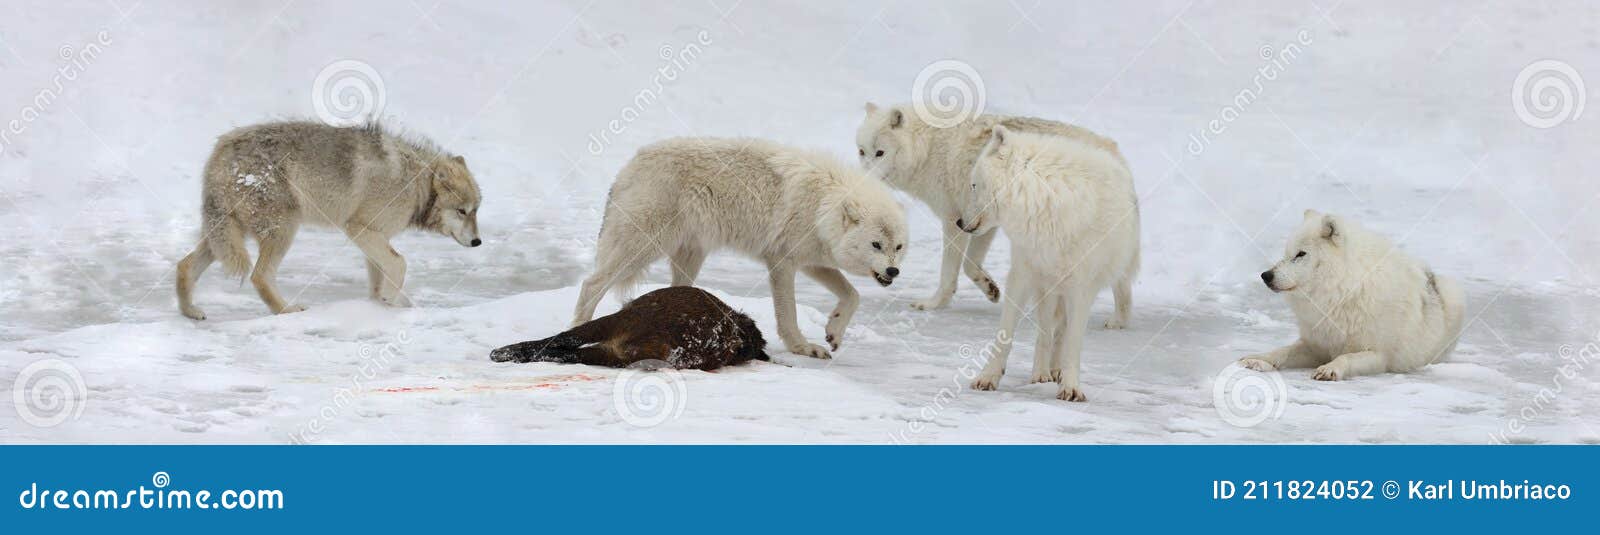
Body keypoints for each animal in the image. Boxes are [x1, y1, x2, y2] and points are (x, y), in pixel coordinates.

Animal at [175, 121, 482, 320]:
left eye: (476, 209)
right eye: (462, 211)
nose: (478, 242)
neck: (417, 183)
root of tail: (221, 151)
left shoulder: (374, 237)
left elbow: (379, 278)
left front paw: (382, 306)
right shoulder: (357, 228)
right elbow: (400, 263)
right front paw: (390, 302)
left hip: (225, 237)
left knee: (184, 265)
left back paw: (190, 312)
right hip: (284, 229)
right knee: (259, 276)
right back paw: (287, 311)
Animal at [571, 137, 908, 359]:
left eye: (898, 247)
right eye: (876, 244)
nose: (893, 271)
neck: (823, 204)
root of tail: (627, 167)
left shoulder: (813, 261)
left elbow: (853, 295)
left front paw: (834, 331)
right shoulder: (783, 262)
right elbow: (788, 314)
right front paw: (801, 347)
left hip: (689, 256)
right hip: (643, 247)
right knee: (591, 284)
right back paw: (579, 328)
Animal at [856, 102, 1129, 313]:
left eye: (880, 153)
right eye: (862, 152)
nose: (864, 180)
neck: (929, 149)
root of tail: (1111, 147)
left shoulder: (954, 221)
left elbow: (949, 272)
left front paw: (933, 304)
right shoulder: (980, 223)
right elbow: (970, 266)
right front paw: (991, 289)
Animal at [958, 126, 1141, 401]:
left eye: (973, 185)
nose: (958, 222)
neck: (1046, 199)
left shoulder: (1080, 288)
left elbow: (1072, 343)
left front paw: (1071, 387)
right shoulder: (1022, 276)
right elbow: (1005, 335)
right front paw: (988, 377)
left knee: (1064, 330)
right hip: (1048, 289)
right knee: (1046, 331)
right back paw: (1041, 374)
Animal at [1239, 210, 1466, 380]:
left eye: (1301, 254)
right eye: (1286, 254)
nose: (1266, 275)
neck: (1343, 292)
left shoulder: (1379, 355)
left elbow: (1346, 358)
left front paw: (1330, 369)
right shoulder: (1315, 346)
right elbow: (1282, 351)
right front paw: (1258, 360)